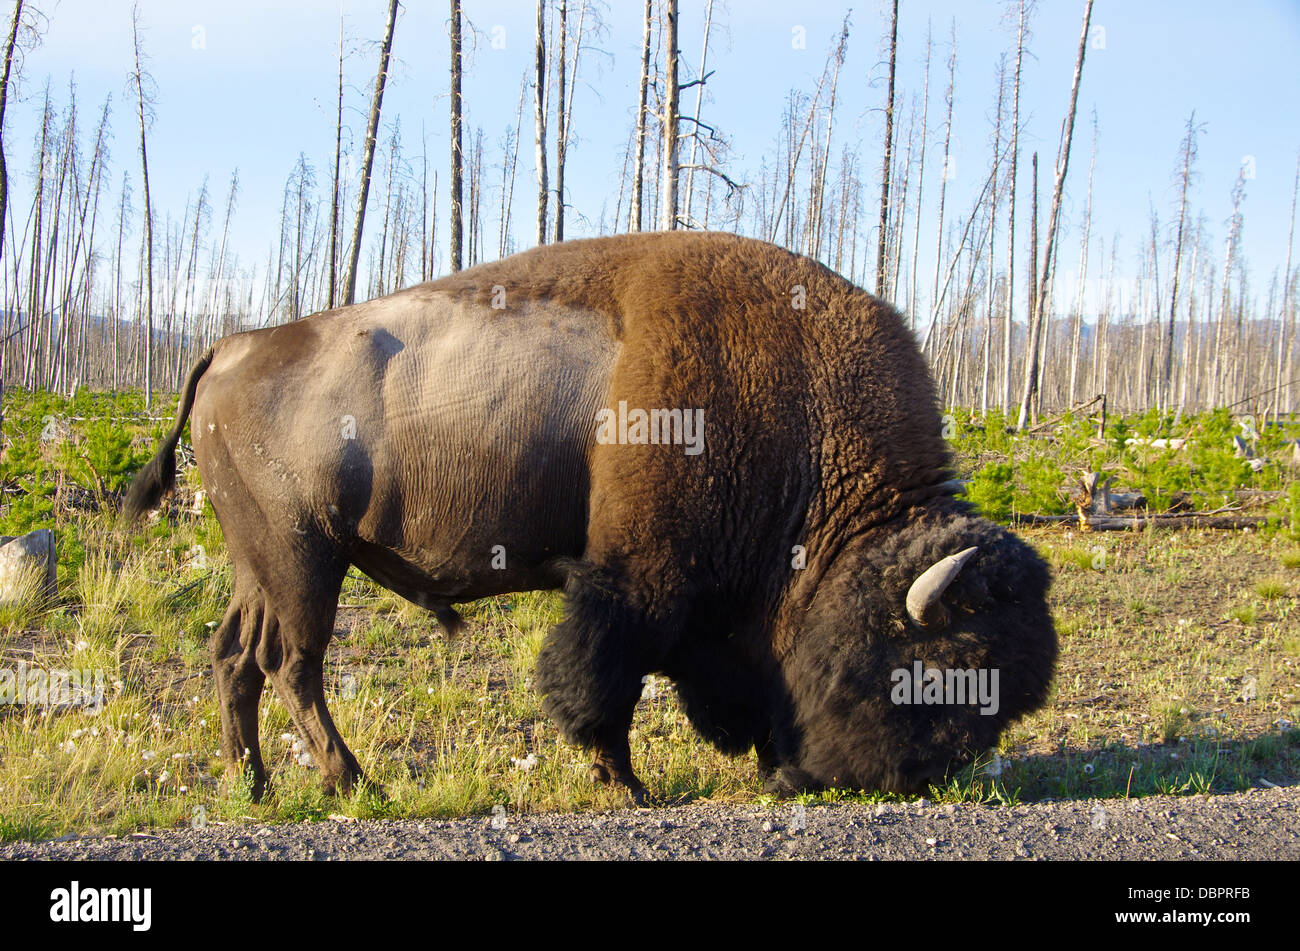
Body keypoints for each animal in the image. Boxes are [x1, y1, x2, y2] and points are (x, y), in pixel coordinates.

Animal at [124, 232, 1056, 803]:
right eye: (921, 673)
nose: (901, 780)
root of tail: (231, 346)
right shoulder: (635, 583)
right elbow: (604, 680)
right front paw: (628, 785)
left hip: (262, 565)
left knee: (235, 655)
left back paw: (252, 785)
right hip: (304, 560)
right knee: (293, 663)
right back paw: (356, 784)